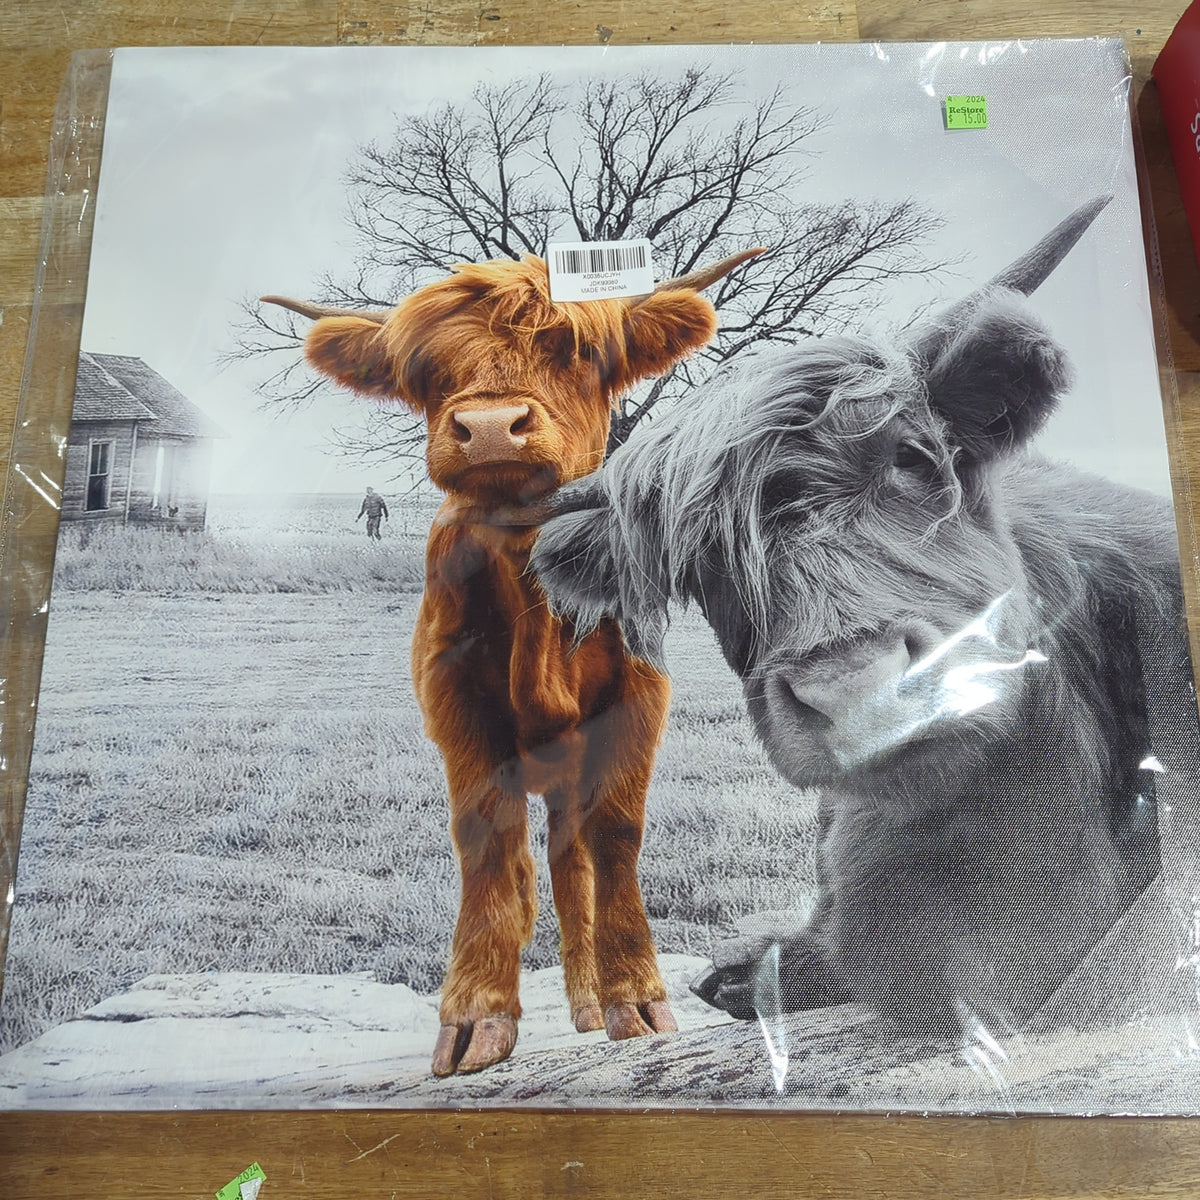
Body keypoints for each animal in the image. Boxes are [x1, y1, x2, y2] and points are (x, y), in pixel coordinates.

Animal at [261, 247, 760, 1074]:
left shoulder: (639, 697)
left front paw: (639, 999)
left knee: (573, 859)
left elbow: (616, 838)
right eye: (422, 370)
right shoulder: (455, 700)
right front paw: (477, 1013)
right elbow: (487, 843)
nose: (492, 428)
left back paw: (594, 1001)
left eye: (579, 350)